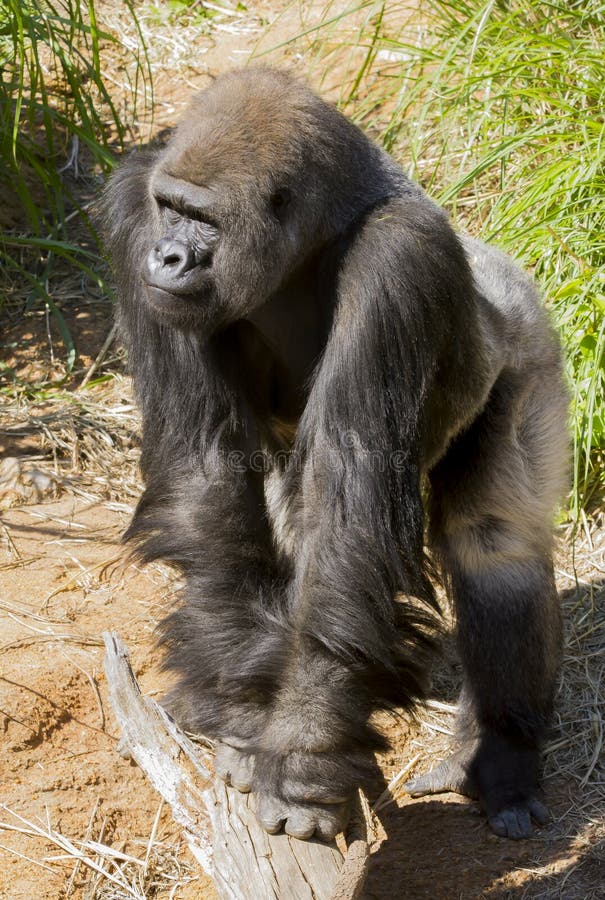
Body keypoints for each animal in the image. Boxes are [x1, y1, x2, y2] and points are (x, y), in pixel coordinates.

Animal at [100, 66, 569, 843]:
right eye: (169, 210)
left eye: (205, 221)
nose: (165, 257)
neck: (309, 242)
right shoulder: (136, 211)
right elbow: (206, 475)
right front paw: (243, 714)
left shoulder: (398, 260)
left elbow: (349, 515)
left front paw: (303, 756)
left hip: (530, 341)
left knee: (495, 542)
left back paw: (500, 756)